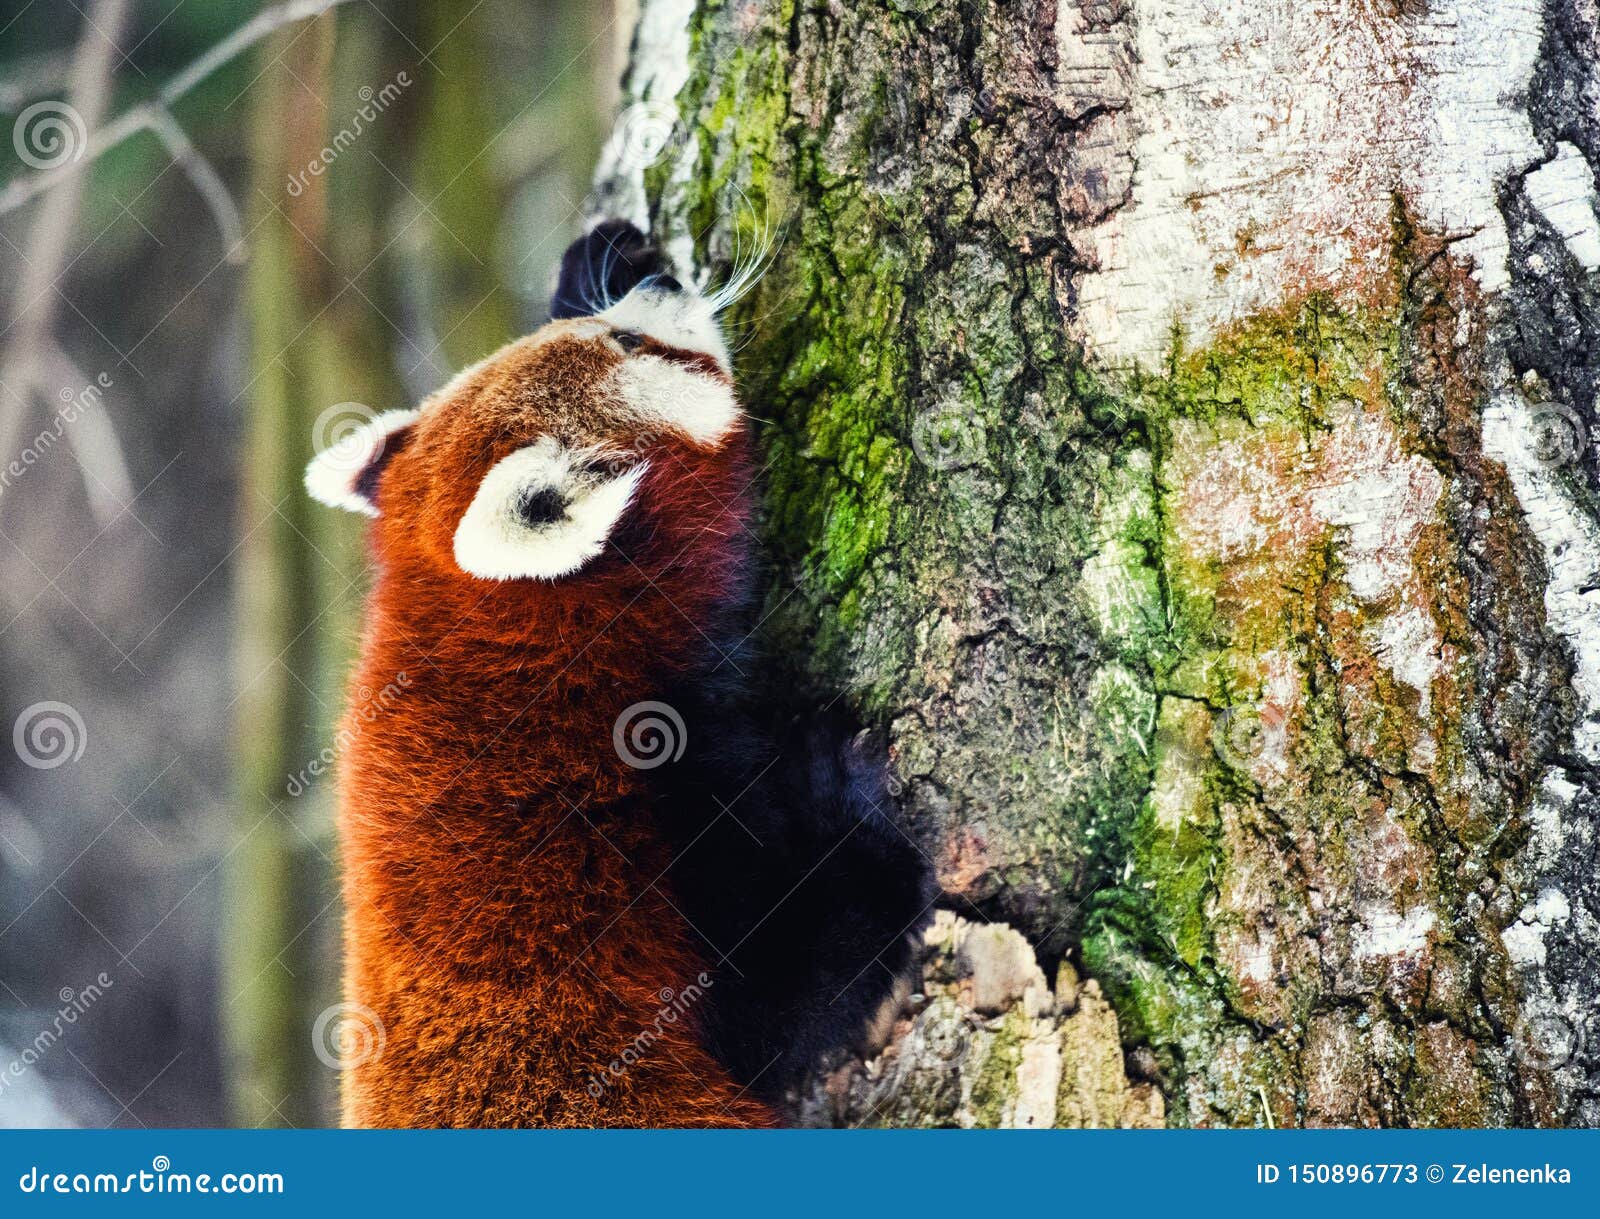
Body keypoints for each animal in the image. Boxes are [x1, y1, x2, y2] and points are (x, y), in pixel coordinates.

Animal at [303, 220, 932, 1128]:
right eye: (630, 344)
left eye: (613, 325)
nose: (662, 280)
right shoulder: (618, 843)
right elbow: (785, 998)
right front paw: (845, 798)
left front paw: (596, 253)